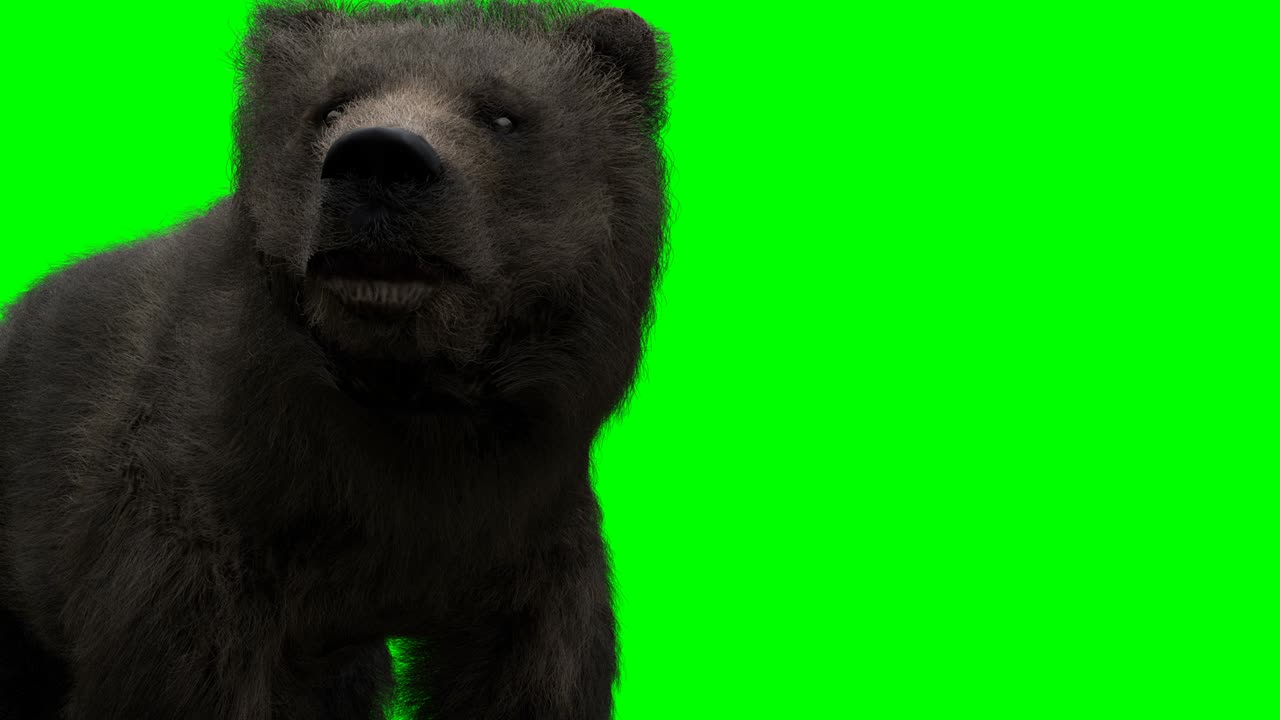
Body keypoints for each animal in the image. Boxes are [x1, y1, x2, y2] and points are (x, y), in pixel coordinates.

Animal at [0, 1, 671, 718]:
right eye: (329, 106)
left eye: (503, 114)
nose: (380, 158)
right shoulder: (197, 533)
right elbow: (176, 672)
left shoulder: (527, 553)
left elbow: (535, 680)